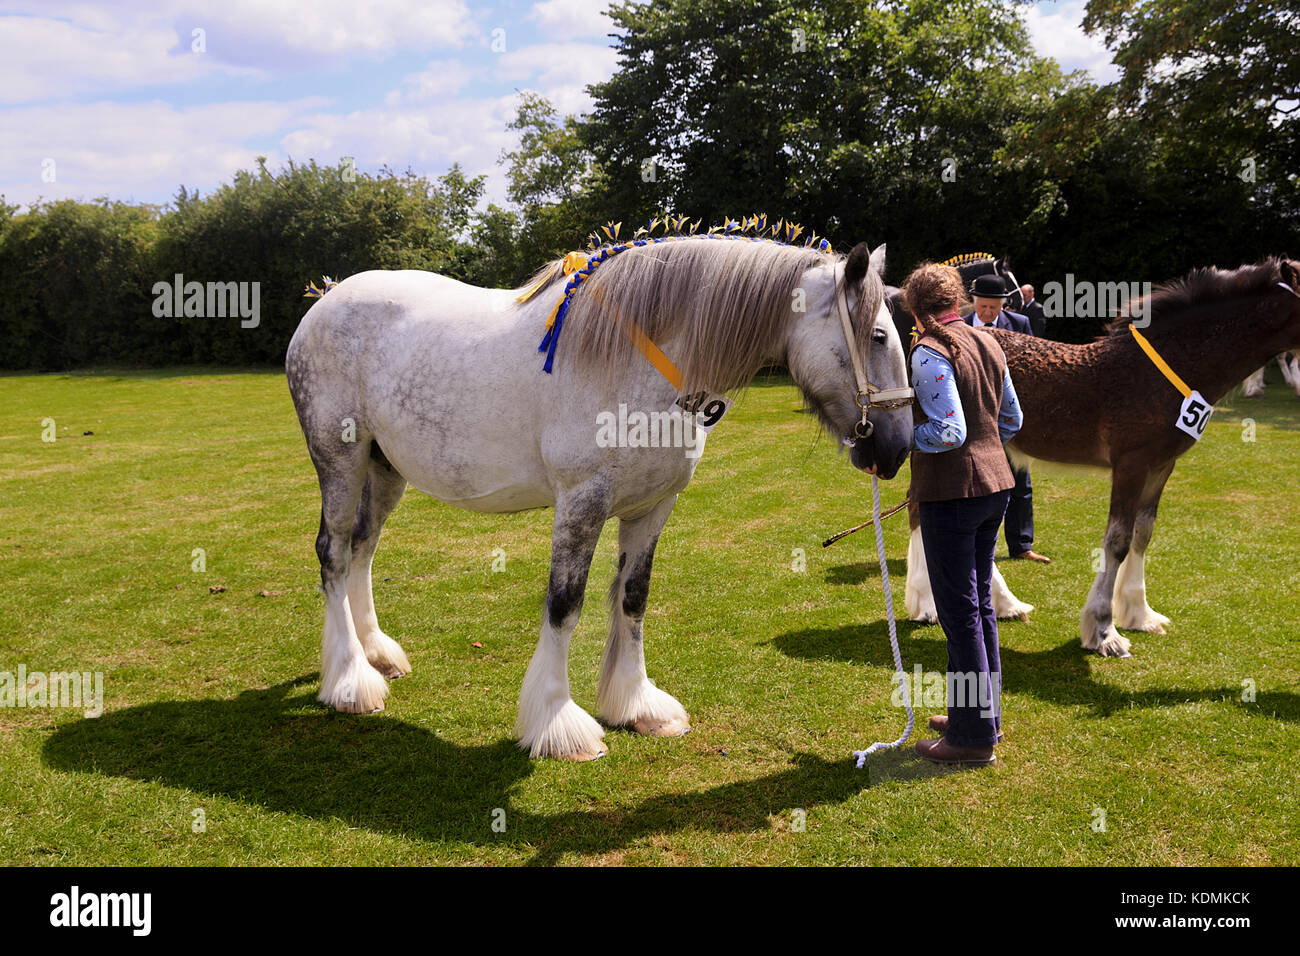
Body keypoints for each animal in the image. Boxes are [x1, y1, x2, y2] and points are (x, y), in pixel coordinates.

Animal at [285, 225, 915, 760]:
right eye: (878, 335)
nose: (898, 448)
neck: (642, 361)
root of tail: (326, 300)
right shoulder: (581, 503)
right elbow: (566, 604)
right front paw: (558, 723)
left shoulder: (652, 507)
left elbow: (632, 598)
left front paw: (636, 705)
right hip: (339, 460)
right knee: (334, 553)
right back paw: (350, 682)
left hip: (385, 469)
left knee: (363, 548)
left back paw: (377, 654)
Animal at [905, 258, 1300, 656]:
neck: (1165, 368)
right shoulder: (1131, 465)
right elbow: (1118, 540)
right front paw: (1104, 632)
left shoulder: (1161, 466)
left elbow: (1143, 533)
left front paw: (1139, 613)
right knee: (921, 510)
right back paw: (928, 605)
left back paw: (1006, 604)